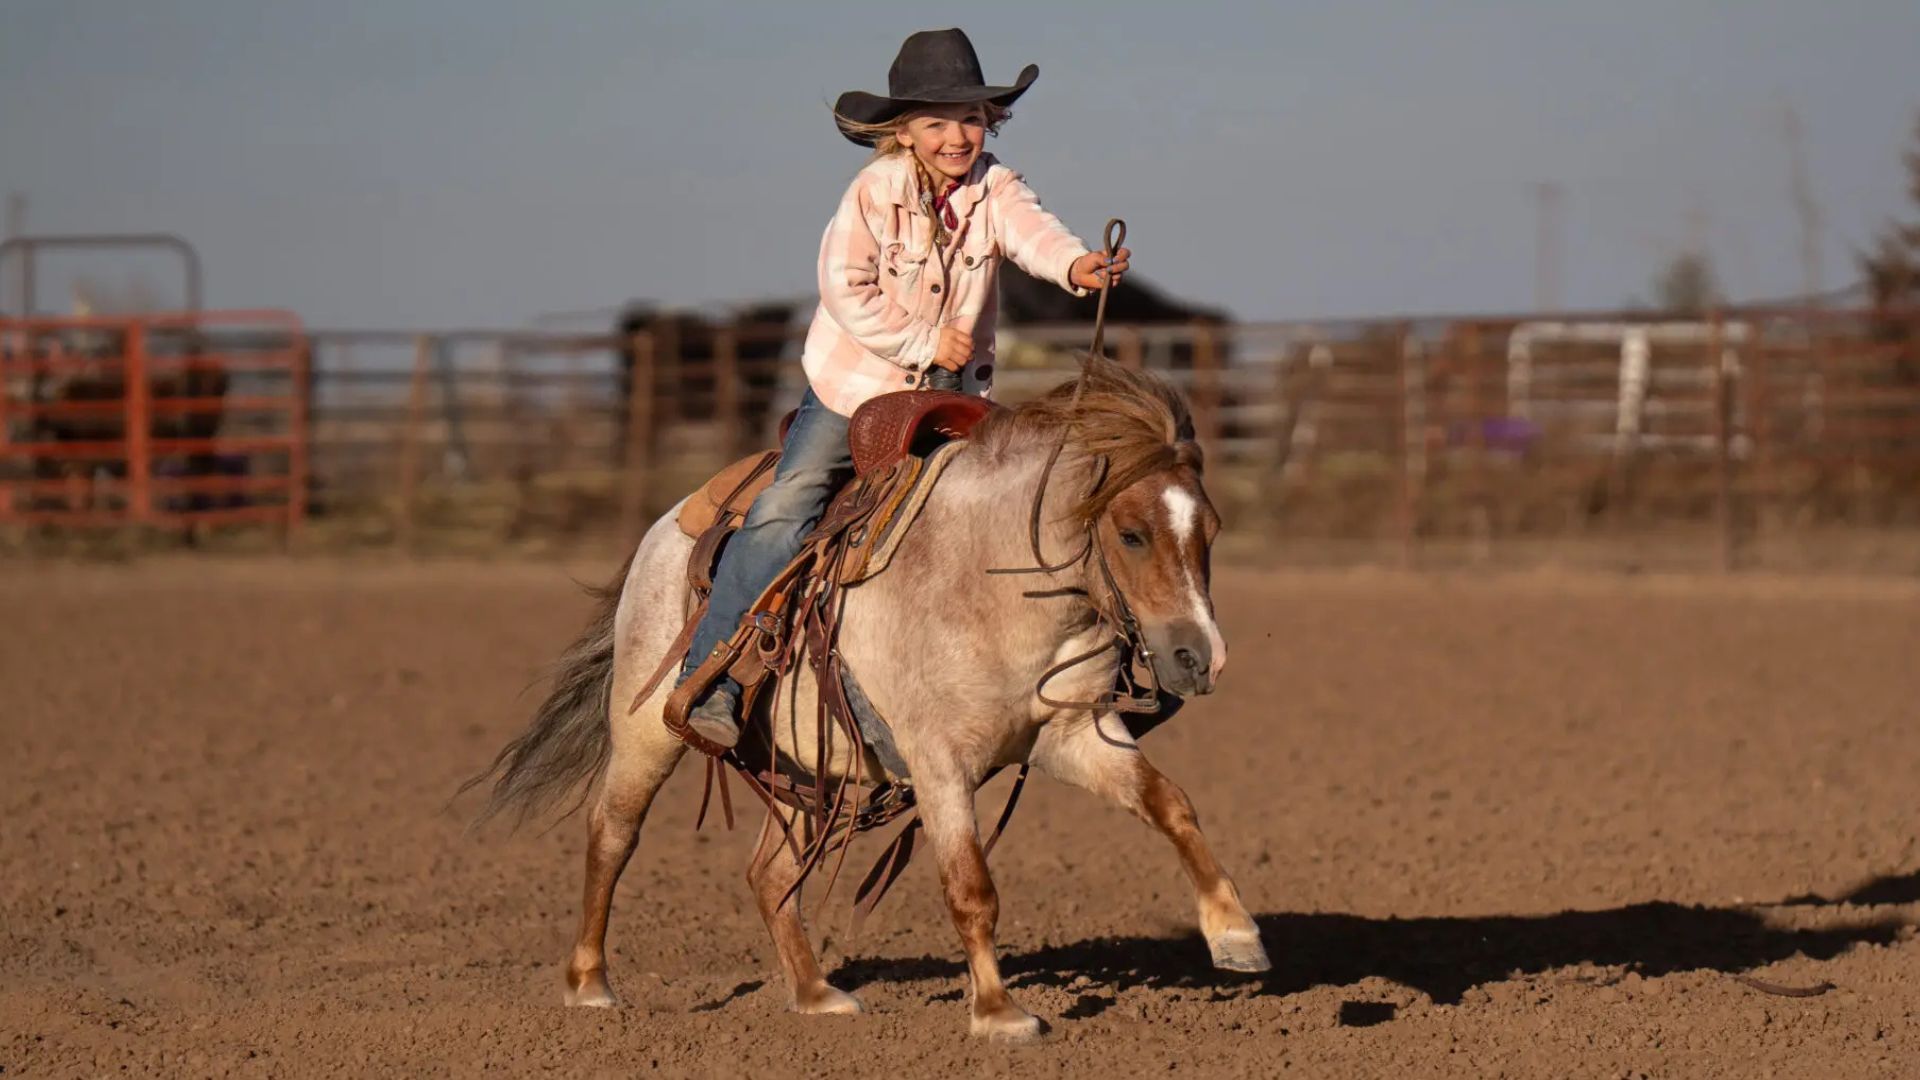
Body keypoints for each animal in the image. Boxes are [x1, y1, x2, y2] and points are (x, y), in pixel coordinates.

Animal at [466, 358, 1268, 1041]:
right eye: (1130, 534)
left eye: (1212, 530)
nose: (1200, 658)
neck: (990, 579)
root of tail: (671, 524)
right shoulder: (940, 760)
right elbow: (970, 886)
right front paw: (999, 1014)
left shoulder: (1073, 734)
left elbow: (1170, 805)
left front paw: (1235, 934)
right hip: (646, 733)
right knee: (612, 834)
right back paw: (590, 984)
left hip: (811, 767)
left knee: (769, 874)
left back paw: (817, 994)